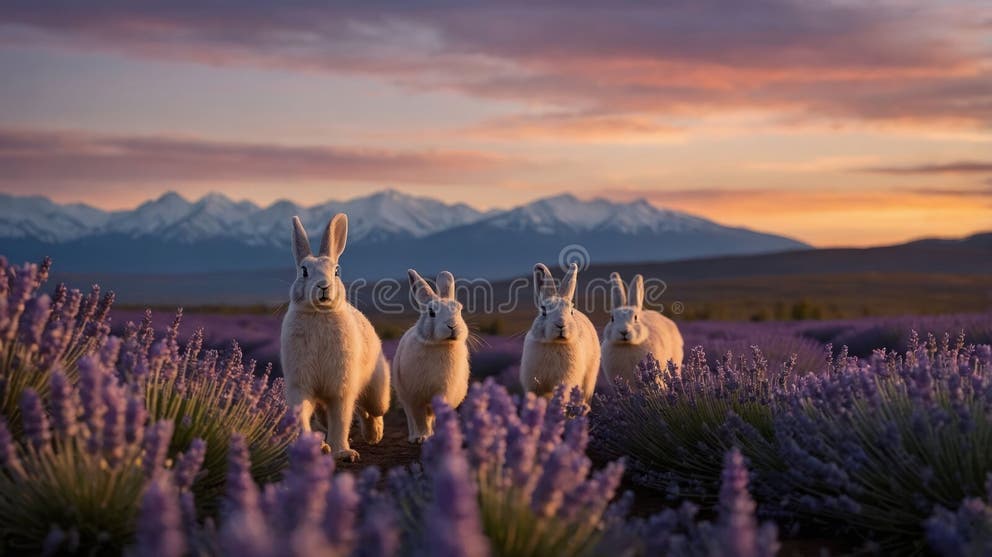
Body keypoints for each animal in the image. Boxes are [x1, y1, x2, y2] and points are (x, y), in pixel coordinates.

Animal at [280, 213, 390, 462]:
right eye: (304, 271)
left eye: (337, 271)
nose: (323, 286)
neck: (319, 313)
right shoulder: (300, 386)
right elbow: (302, 416)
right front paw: (315, 448)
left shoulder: (341, 388)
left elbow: (341, 419)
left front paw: (343, 453)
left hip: (377, 388)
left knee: (372, 410)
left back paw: (374, 435)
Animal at [392, 269, 471, 443]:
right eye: (431, 312)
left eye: (459, 309)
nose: (452, 325)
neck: (440, 344)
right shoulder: (415, 396)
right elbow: (420, 418)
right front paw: (421, 437)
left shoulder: (443, 391)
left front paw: (437, 436)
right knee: (412, 417)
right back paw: (413, 437)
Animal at [519, 262, 601, 403]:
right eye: (544, 311)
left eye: (571, 311)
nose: (561, 324)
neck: (555, 343)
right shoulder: (534, 385)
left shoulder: (565, 380)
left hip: (589, 379)